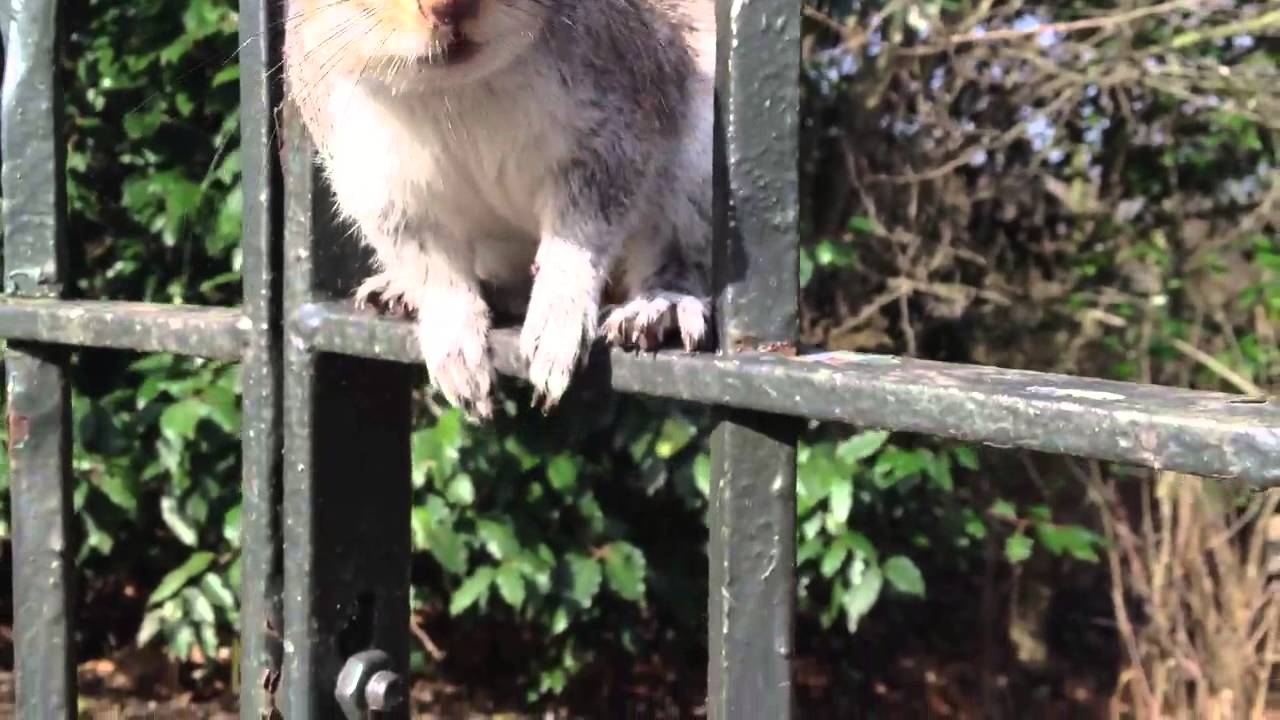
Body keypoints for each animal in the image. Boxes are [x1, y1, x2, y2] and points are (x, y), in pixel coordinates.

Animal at [283, 0, 713, 419]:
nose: (450, 8)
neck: (456, 90)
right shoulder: (377, 181)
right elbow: (432, 270)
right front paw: (453, 343)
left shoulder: (614, 122)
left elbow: (581, 238)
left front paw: (557, 321)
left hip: (695, 172)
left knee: (678, 249)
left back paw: (661, 304)